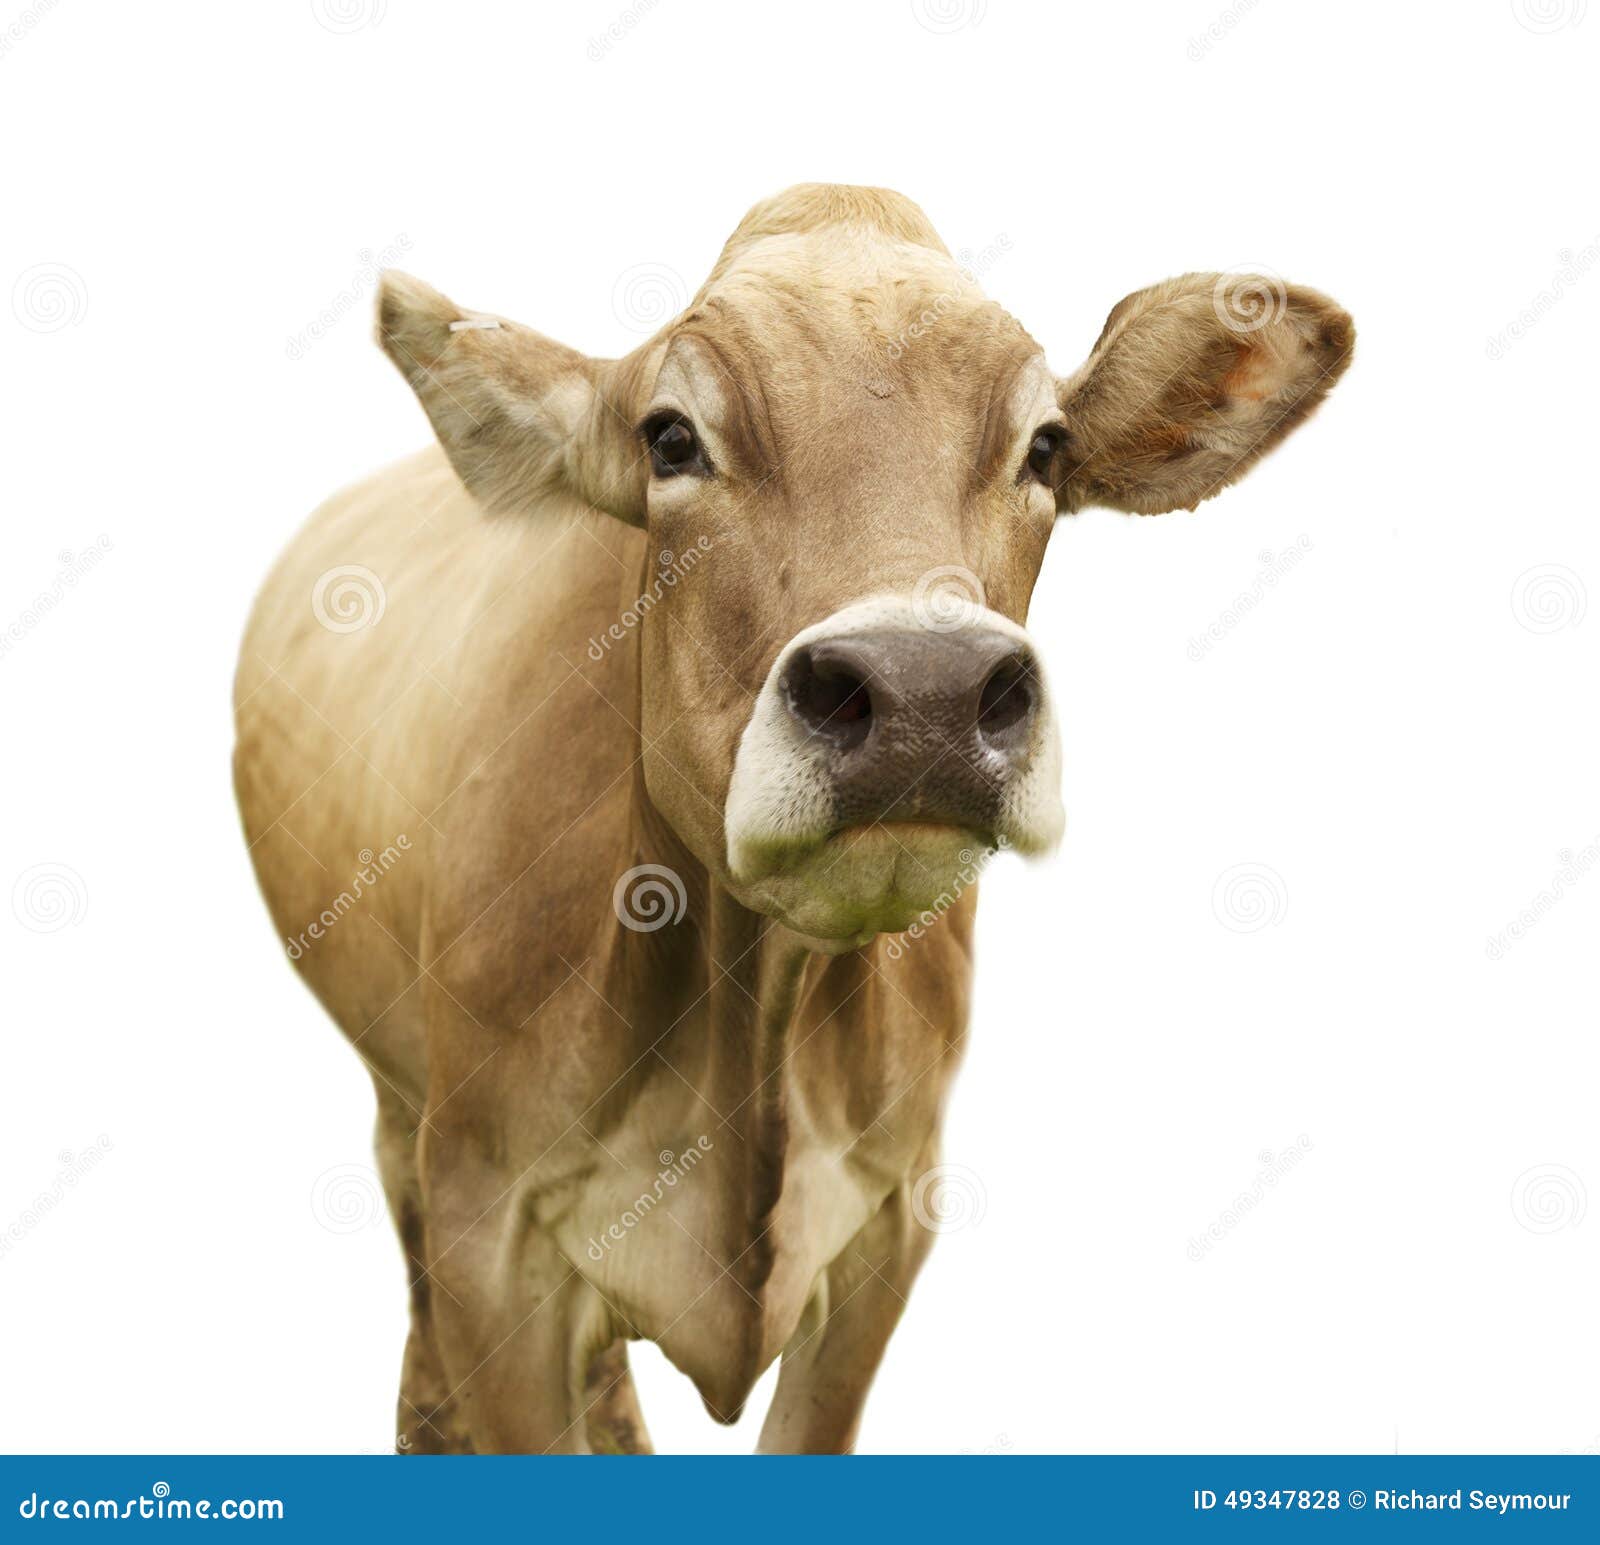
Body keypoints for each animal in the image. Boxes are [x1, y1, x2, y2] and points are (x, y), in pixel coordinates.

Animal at [233, 184, 1352, 1454]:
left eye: (1046, 448)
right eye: (670, 439)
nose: (924, 692)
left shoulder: (888, 1221)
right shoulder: (487, 1230)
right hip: (398, 1104)